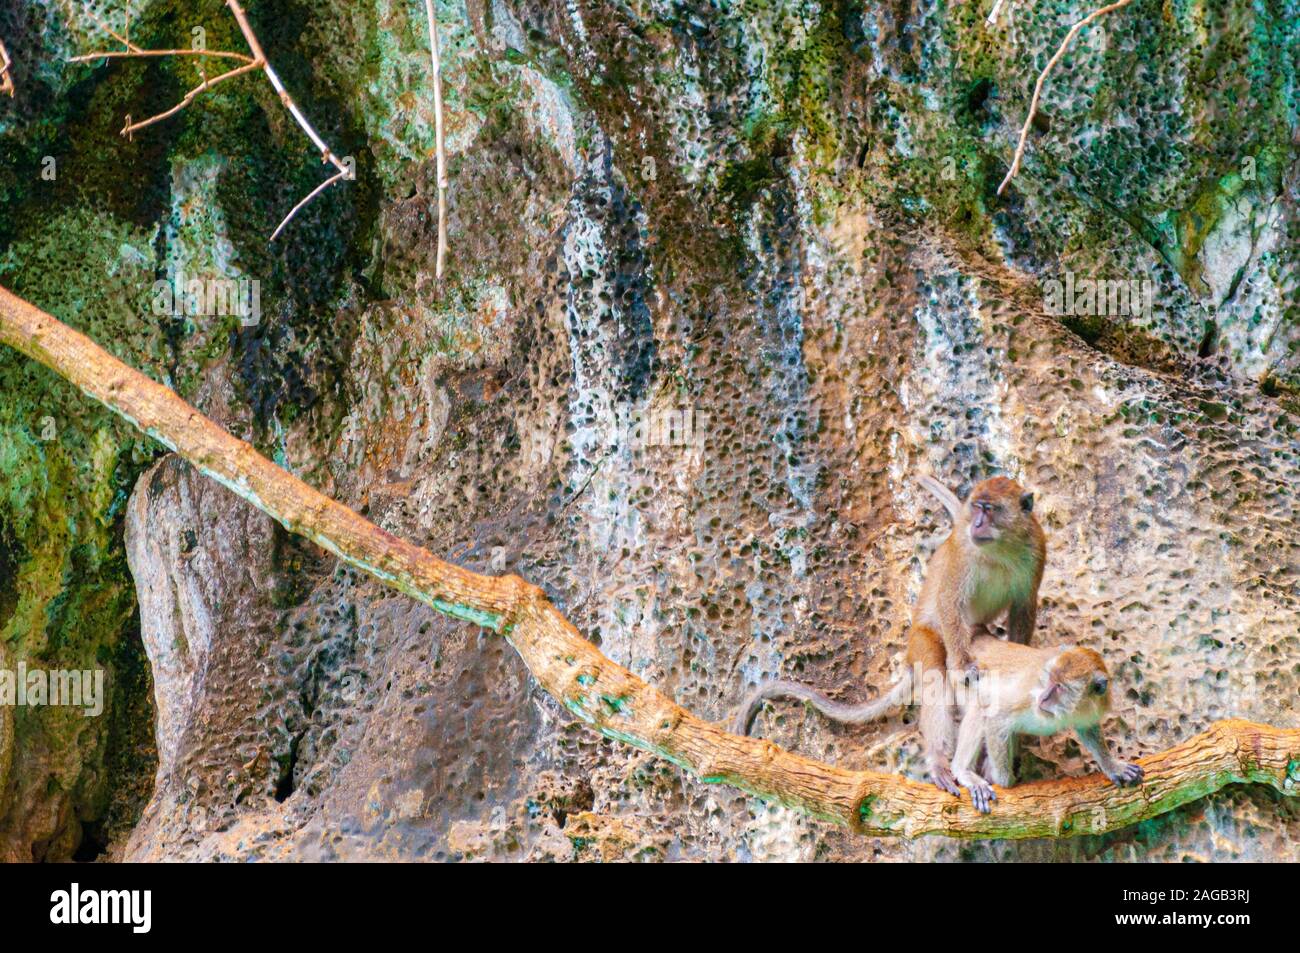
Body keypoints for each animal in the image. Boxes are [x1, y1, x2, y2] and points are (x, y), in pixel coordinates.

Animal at [736, 633, 1144, 811]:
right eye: (1048, 681)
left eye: (1059, 688)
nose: (1043, 698)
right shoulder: (1020, 696)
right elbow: (994, 716)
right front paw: (1002, 780)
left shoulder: (1087, 710)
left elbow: (1088, 731)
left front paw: (1112, 765)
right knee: (972, 705)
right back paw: (960, 770)